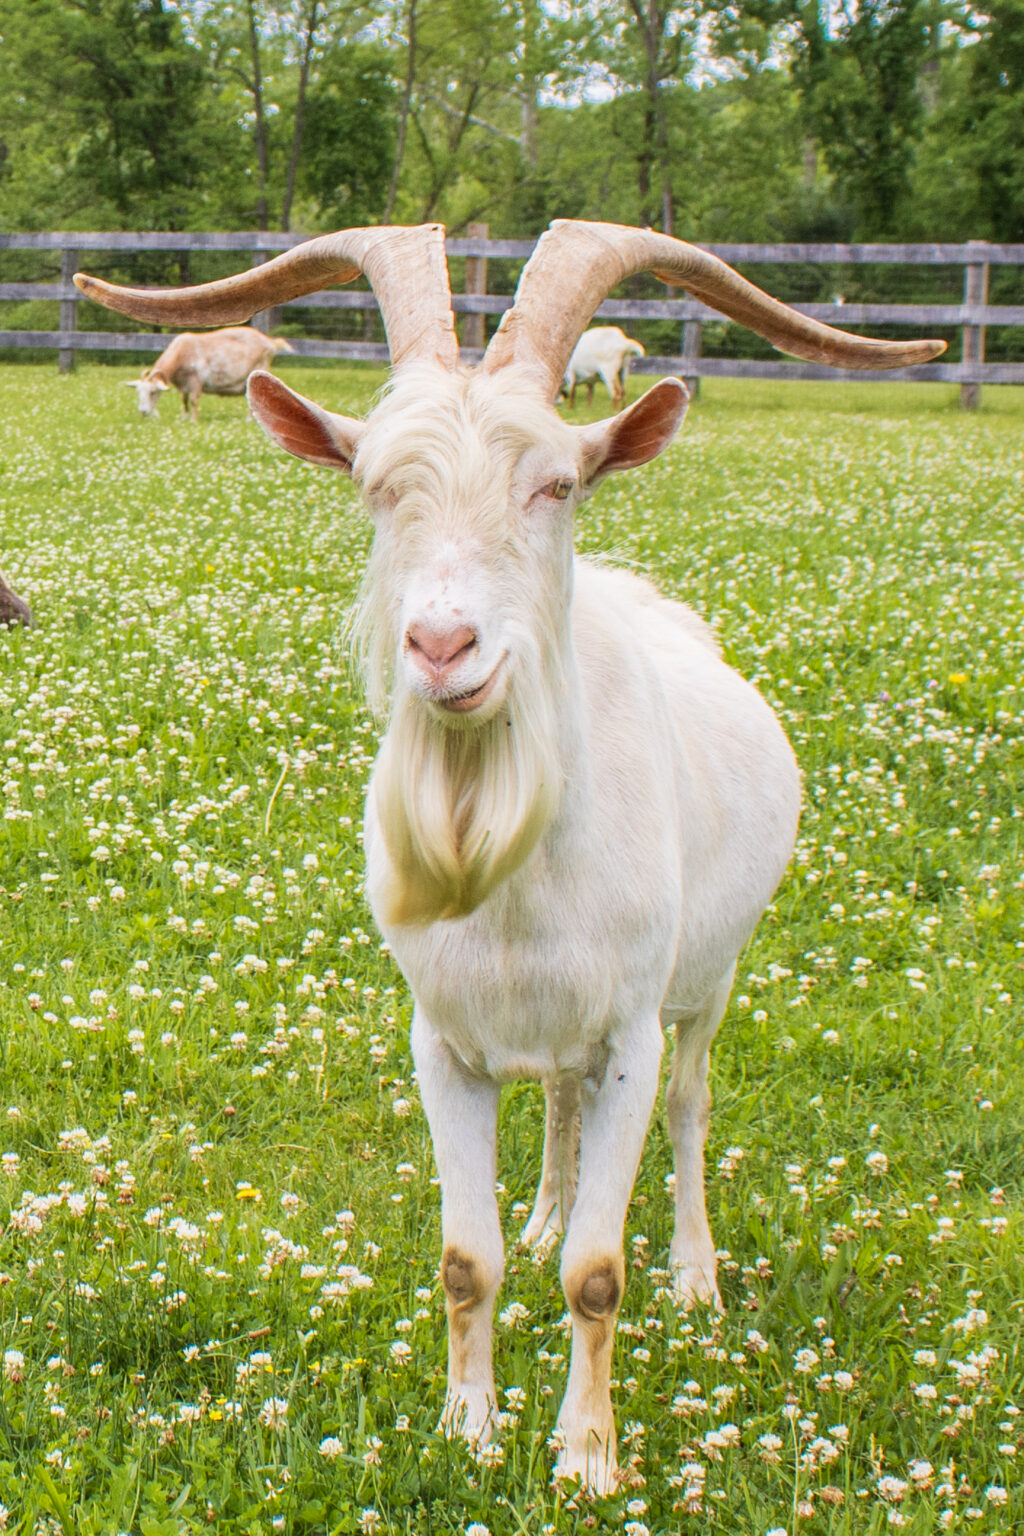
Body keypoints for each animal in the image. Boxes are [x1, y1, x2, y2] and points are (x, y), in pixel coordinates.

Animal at [123, 327, 293, 421]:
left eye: (153, 392)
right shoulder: (184, 385)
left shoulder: (195, 380)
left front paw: (194, 421)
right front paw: (185, 418)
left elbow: (193, 401)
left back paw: (249, 419)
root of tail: (270, 342)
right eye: (138, 392)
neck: (181, 353)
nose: (143, 412)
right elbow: (184, 400)